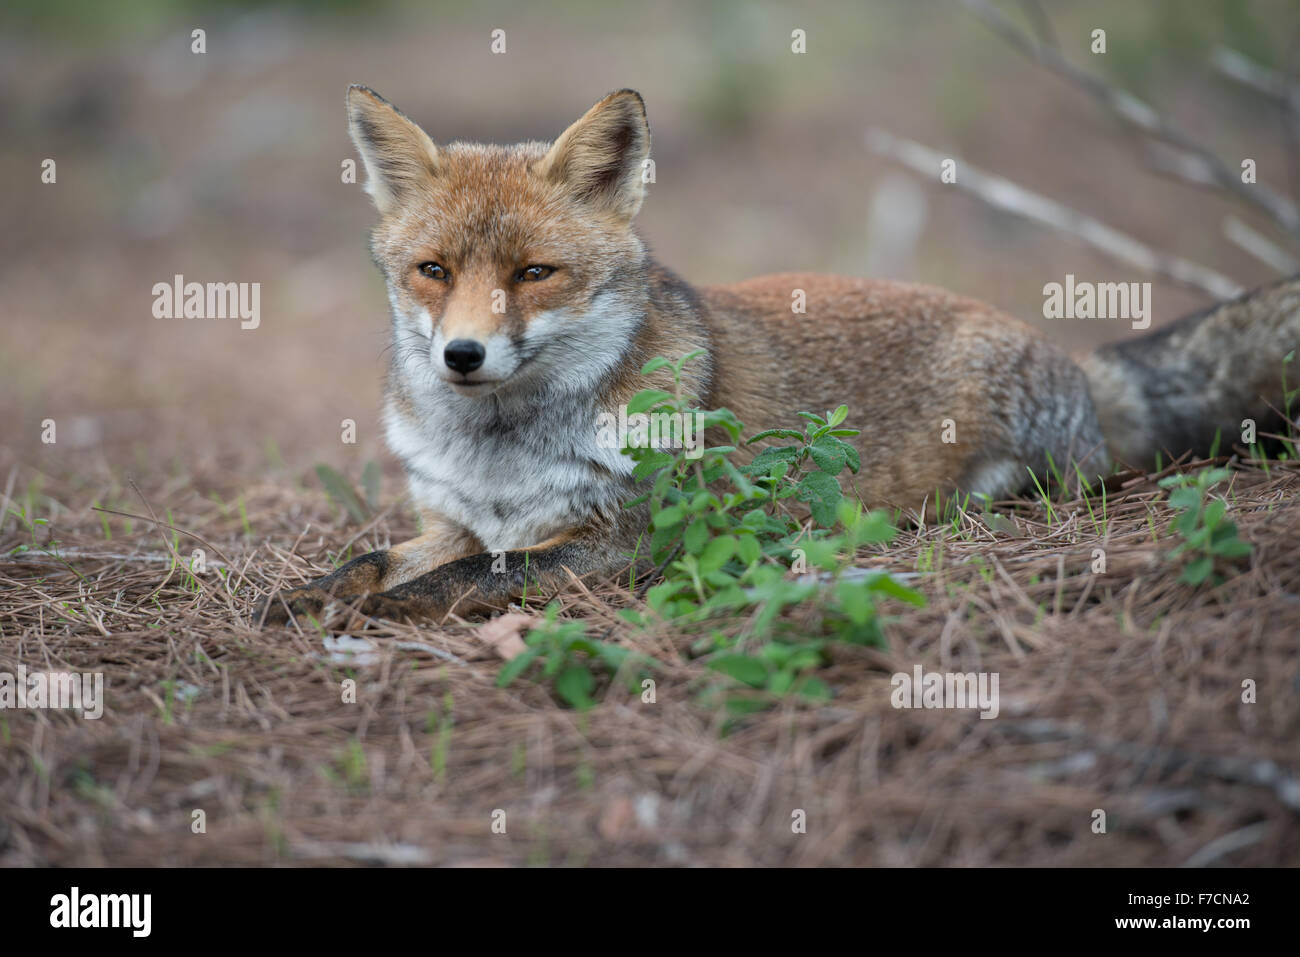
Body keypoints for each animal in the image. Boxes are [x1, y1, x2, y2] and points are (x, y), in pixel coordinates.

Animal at [256, 86, 1300, 627]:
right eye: (433, 271)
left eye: (534, 272)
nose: (462, 355)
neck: (501, 455)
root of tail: (1077, 362)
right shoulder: (454, 519)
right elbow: (370, 558)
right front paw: (303, 598)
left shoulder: (625, 539)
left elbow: (465, 581)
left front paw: (368, 616)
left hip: (1014, 469)